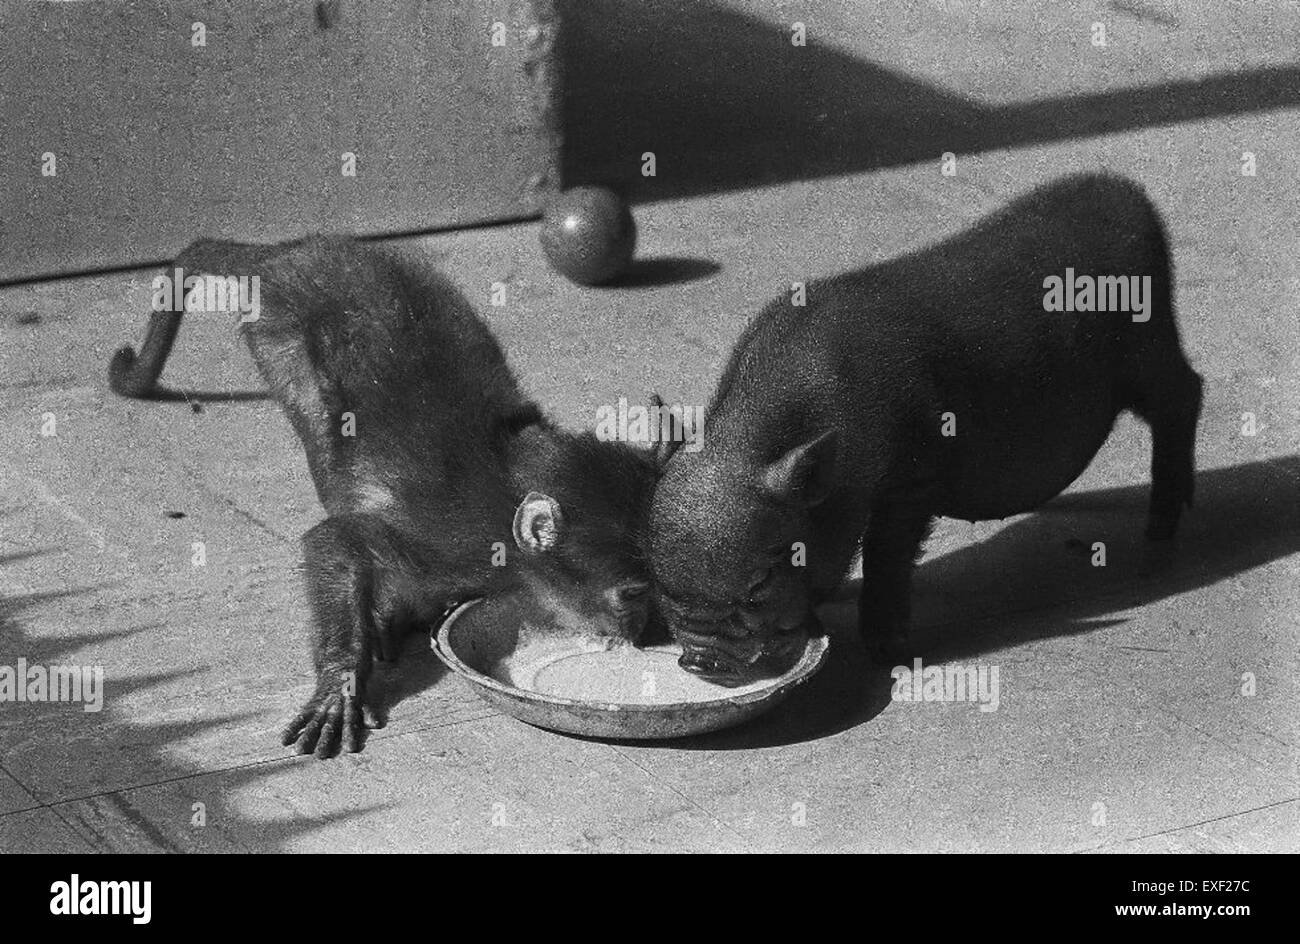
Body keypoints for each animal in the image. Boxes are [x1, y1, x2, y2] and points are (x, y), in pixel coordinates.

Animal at [110, 236, 658, 756]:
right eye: (632, 593)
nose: (647, 633)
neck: (505, 488)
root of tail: (287, 254)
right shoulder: (452, 536)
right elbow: (333, 543)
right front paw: (341, 682)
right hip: (279, 333)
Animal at [648, 173, 1203, 684]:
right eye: (660, 580)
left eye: (760, 583)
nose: (697, 660)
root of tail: (1131, 196)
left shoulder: (911, 480)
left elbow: (887, 558)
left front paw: (887, 651)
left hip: (1149, 349)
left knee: (1186, 396)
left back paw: (1160, 528)